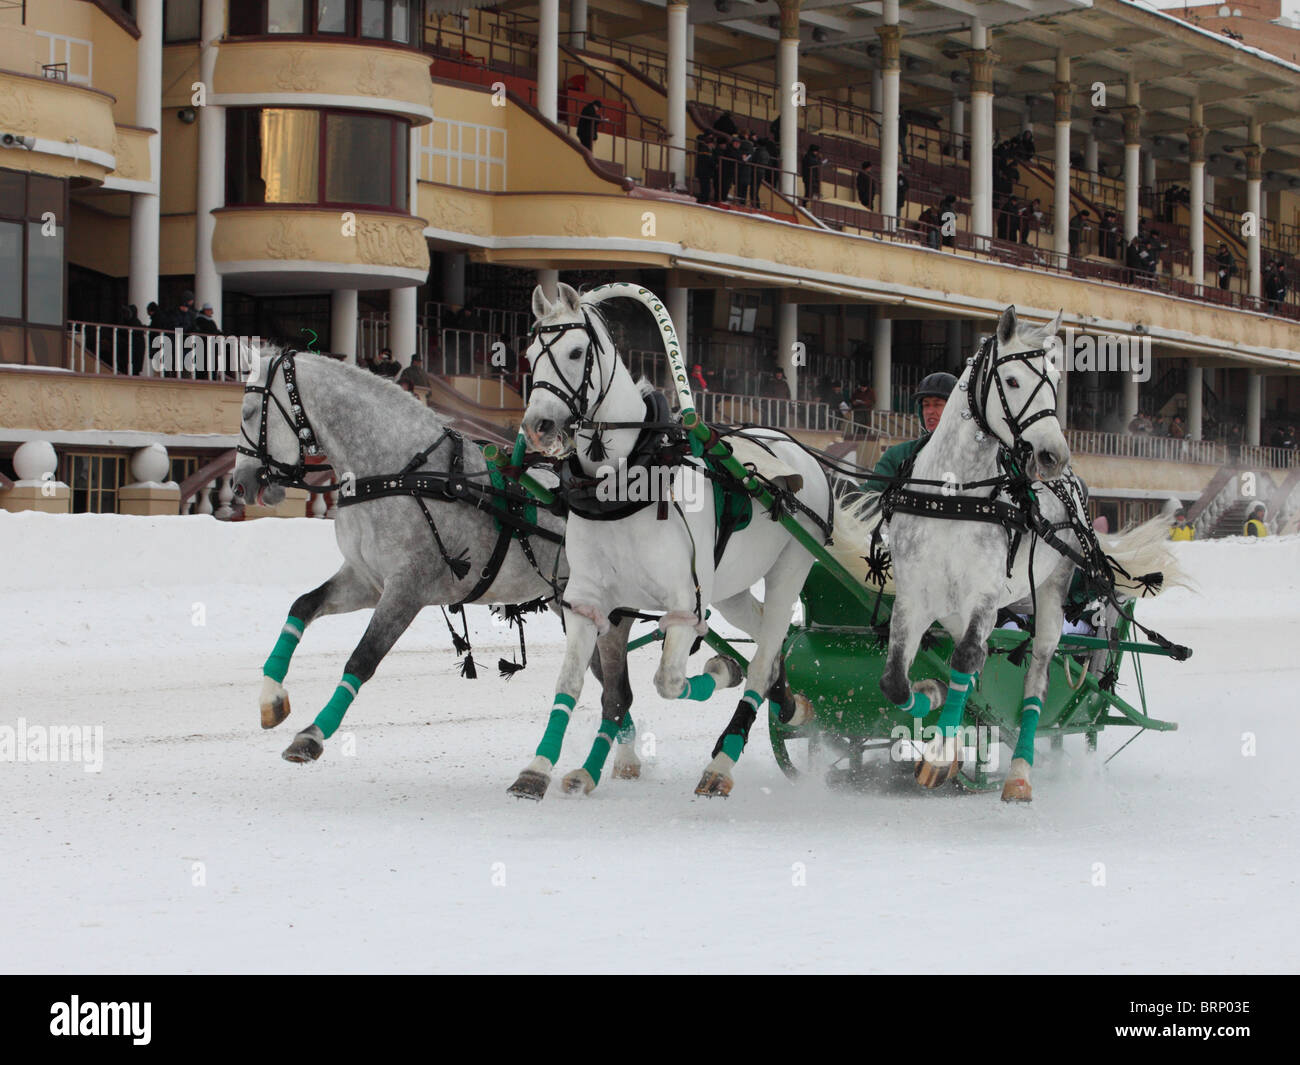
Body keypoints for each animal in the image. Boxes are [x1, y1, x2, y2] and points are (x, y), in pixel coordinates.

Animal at [230, 347, 639, 771]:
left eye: (248, 412)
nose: (240, 483)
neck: (403, 472)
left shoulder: (408, 588)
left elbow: (361, 659)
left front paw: (312, 734)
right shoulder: (366, 580)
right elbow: (302, 606)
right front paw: (271, 698)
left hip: (609, 613)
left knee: (618, 692)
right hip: (570, 607)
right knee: (613, 689)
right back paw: (625, 759)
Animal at [508, 283, 876, 799]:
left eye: (576, 351)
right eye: (528, 356)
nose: (536, 427)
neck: (629, 478)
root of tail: (798, 450)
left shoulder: (685, 604)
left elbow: (669, 680)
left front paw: (721, 670)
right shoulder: (589, 602)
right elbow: (578, 686)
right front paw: (539, 768)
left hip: (789, 568)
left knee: (764, 655)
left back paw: (723, 761)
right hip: (731, 588)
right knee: (769, 643)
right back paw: (790, 706)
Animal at [877, 305, 1182, 801]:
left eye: (1056, 379)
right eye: (1013, 380)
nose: (1053, 454)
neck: (954, 496)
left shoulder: (984, 592)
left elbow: (965, 659)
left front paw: (940, 753)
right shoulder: (915, 595)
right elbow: (897, 682)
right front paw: (934, 692)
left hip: (1051, 598)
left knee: (1036, 673)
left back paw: (1020, 770)